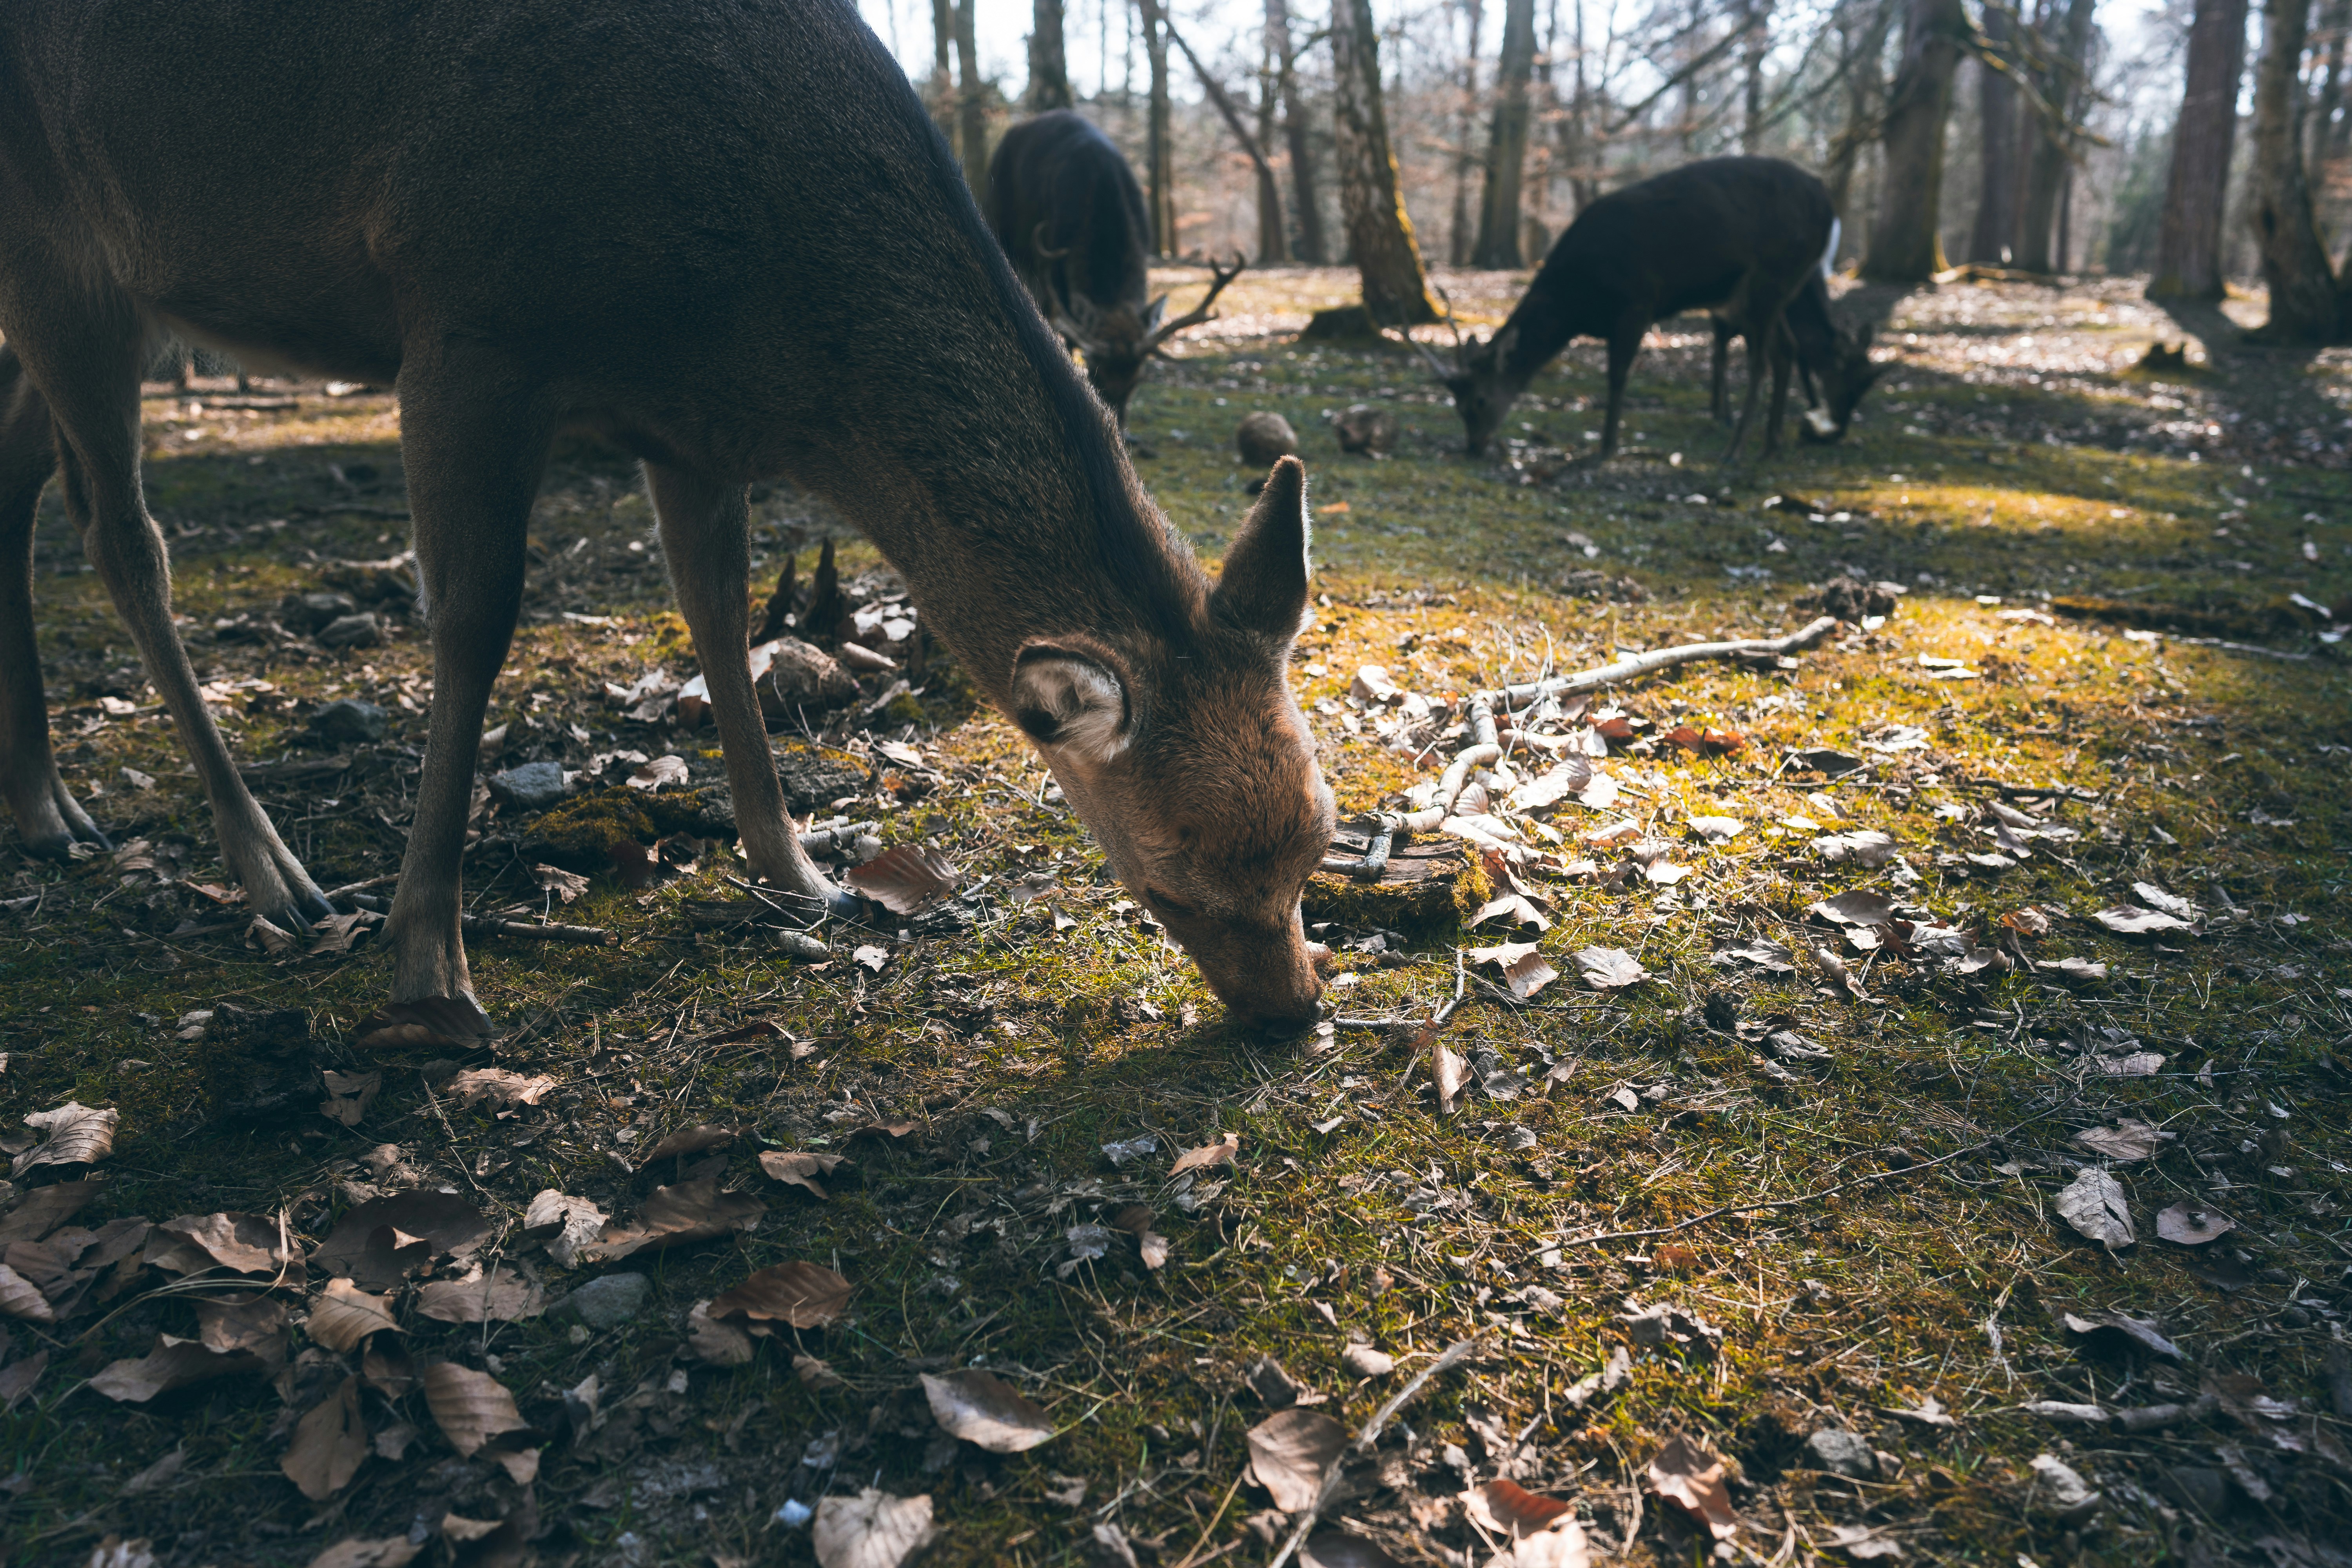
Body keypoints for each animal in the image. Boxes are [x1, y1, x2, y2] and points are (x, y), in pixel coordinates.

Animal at [1420, 157, 1856, 464]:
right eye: (1456, 405)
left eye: (1478, 401)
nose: (1475, 446)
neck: (1578, 302)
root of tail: (1828, 204)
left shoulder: (1637, 304)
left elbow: (1617, 377)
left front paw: (1606, 448)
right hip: (1773, 289)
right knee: (1787, 350)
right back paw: (1770, 445)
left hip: (1774, 275)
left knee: (1763, 361)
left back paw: (1734, 450)